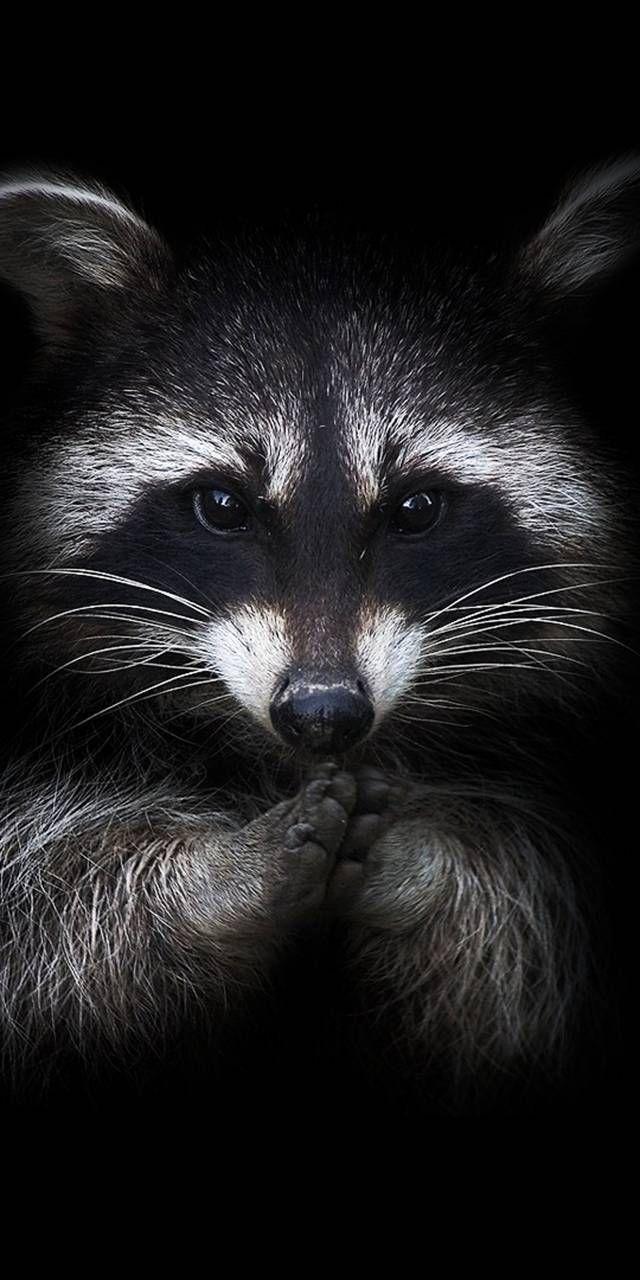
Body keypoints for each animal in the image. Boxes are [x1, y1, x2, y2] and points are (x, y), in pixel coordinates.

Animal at [0, 162, 636, 1112]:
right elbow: (41, 909)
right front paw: (209, 884)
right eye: (222, 505)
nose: (324, 712)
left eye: (418, 507)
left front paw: (428, 873)